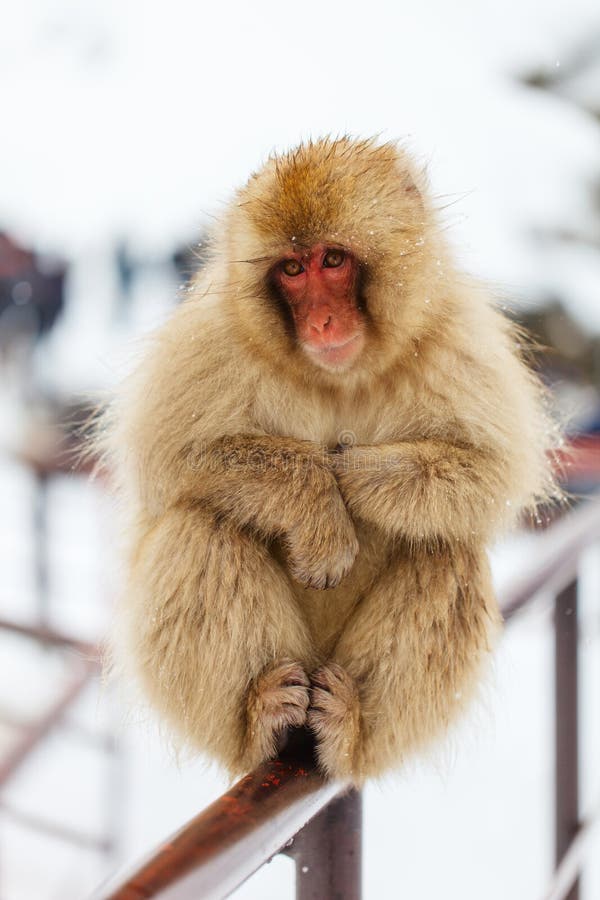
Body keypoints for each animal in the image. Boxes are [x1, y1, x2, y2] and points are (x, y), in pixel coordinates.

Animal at [105, 137, 559, 783]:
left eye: (334, 260)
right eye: (293, 270)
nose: (321, 321)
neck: (339, 377)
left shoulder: (457, 338)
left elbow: (492, 472)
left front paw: (357, 475)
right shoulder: (214, 339)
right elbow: (168, 458)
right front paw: (320, 499)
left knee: (446, 550)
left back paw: (351, 732)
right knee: (202, 523)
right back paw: (260, 722)